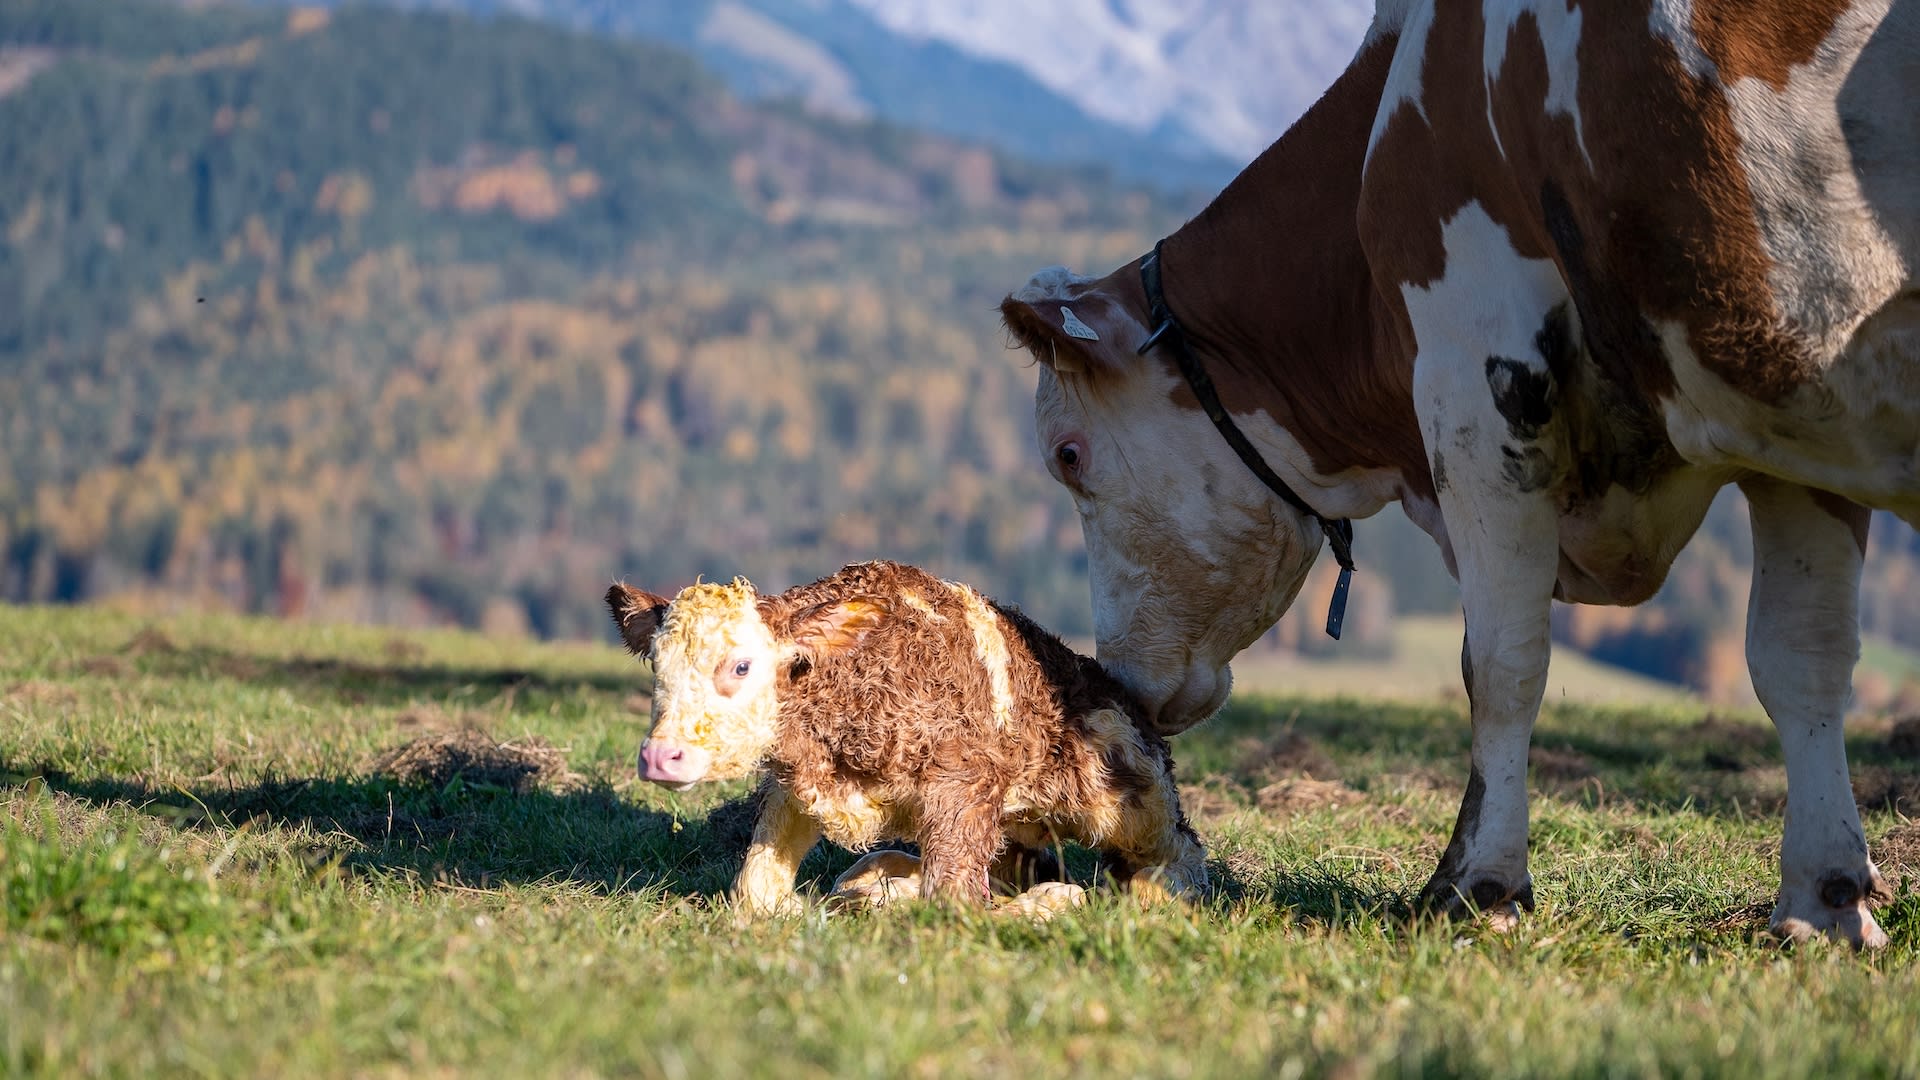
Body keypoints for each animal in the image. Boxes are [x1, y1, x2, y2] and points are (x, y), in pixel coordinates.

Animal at [606, 562, 1208, 919]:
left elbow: (956, 906)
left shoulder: (966, 786)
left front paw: (1056, 901)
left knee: (1183, 852)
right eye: (657, 665)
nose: (660, 756)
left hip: (1129, 794)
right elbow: (756, 890)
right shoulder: (798, 781)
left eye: (740, 665)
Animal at [998, 0, 1917, 947]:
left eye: (1068, 455)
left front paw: (1481, 885)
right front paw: (1825, 903)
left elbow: (1503, 663)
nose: (1117, 681)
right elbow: (1802, 658)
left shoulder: (1476, 379)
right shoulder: (1792, 419)